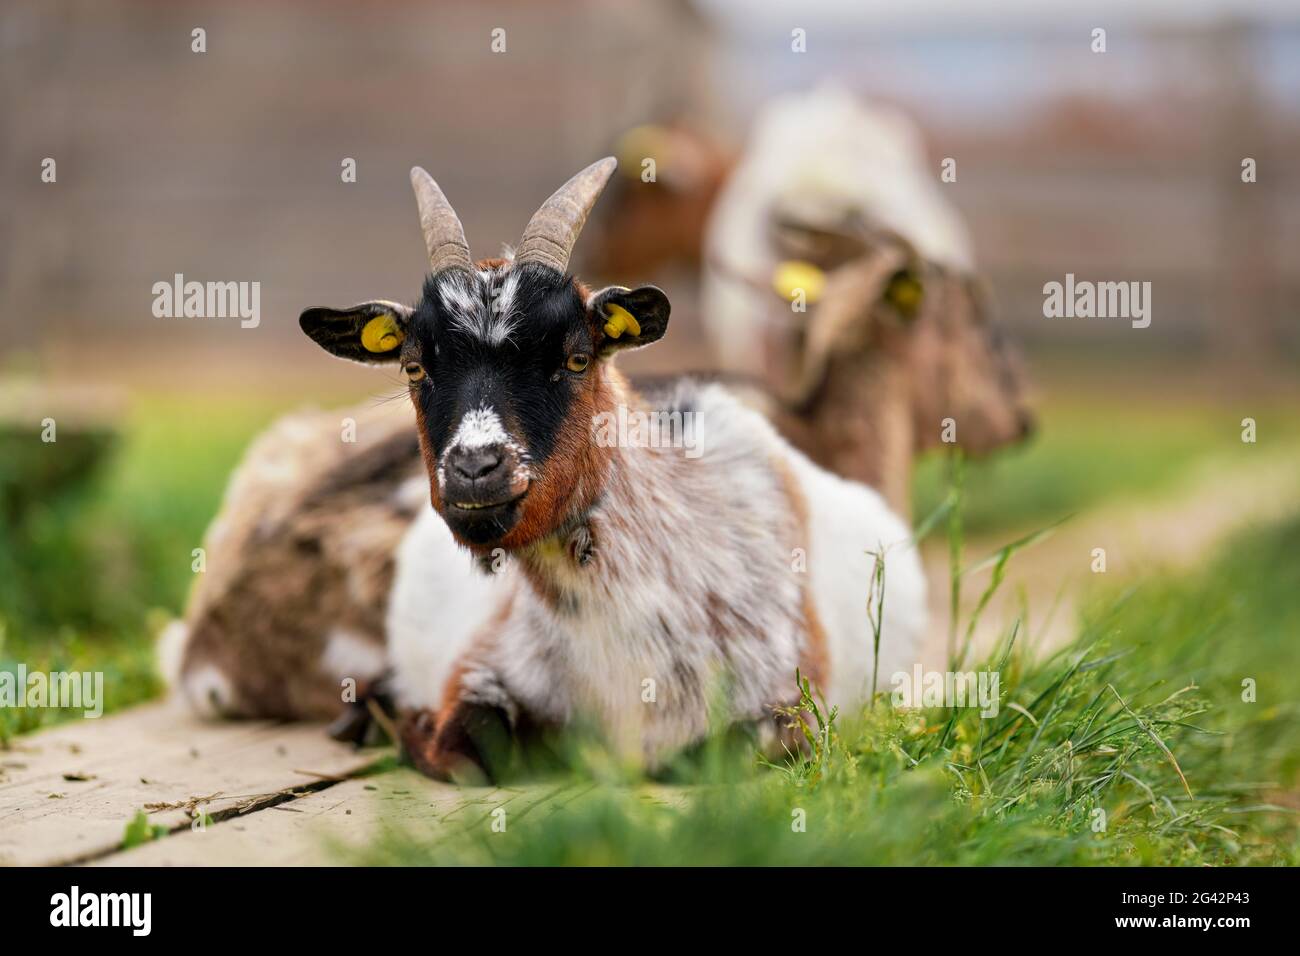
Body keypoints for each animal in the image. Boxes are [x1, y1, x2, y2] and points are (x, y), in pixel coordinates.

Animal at [296, 159, 926, 778]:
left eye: (578, 358)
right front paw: (409, 723)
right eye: (413, 367)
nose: (475, 468)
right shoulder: (484, 665)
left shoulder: (789, 702)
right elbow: (464, 747)